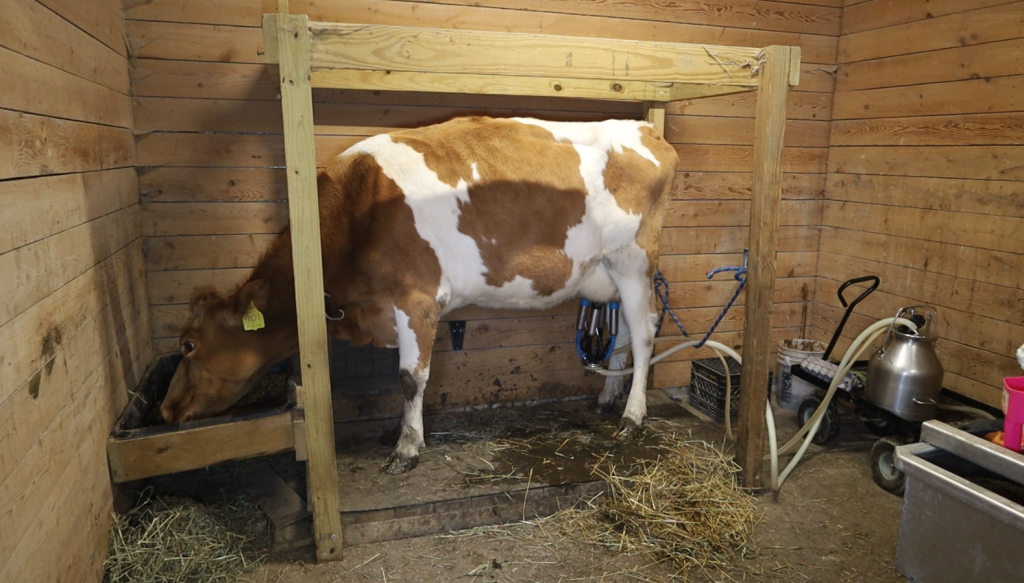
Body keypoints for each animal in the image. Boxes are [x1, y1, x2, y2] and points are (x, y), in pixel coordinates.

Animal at [160, 116, 678, 474]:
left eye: (189, 345)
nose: (166, 409)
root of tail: (646, 129)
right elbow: (405, 379)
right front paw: (400, 430)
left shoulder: (416, 301)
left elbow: (411, 377)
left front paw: (406, 446)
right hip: (608, 271)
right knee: (623, 335)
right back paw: (608, 397)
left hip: (634, 259)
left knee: (644, 332)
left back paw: (632, 417)